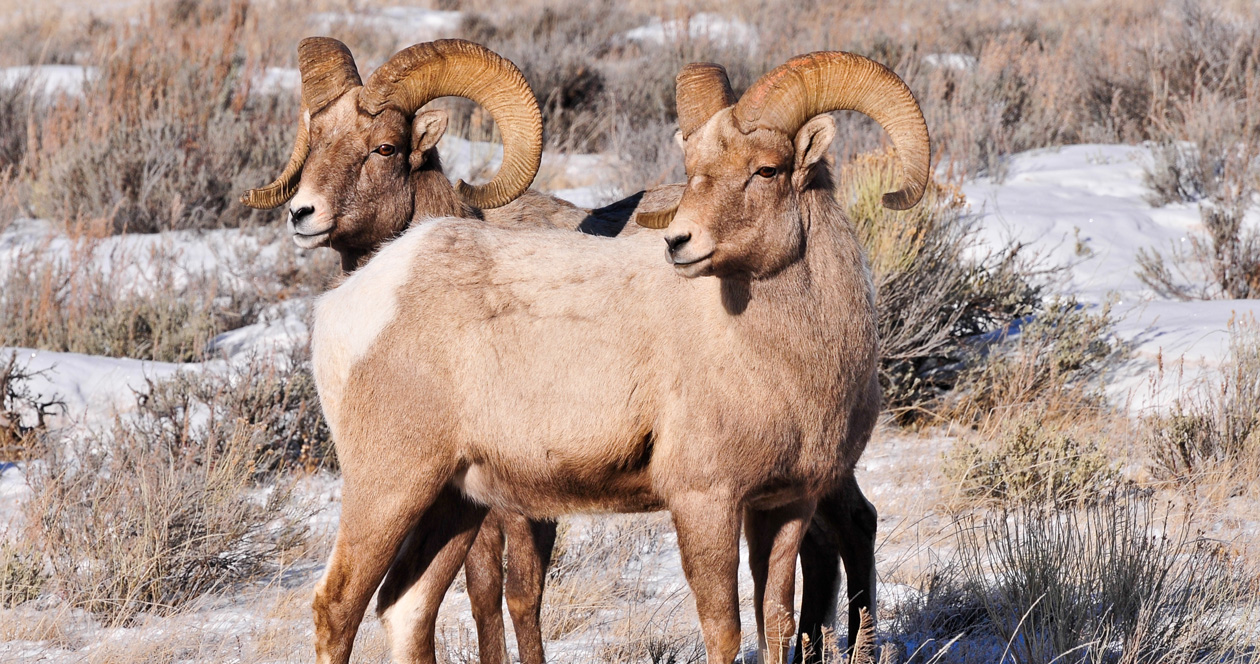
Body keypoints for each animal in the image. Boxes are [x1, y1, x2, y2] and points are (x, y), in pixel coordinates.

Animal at [244, 38, 887, 664]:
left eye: (767, 169)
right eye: (695, 169)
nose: (680, 242)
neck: (783, 356)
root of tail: (356, 297)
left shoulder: (784, 504)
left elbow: (774, 624)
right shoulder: (704, 502)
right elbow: (723, 632)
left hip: (452, 504)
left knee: (407, 609)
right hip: (390, 488)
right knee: (338, 608)